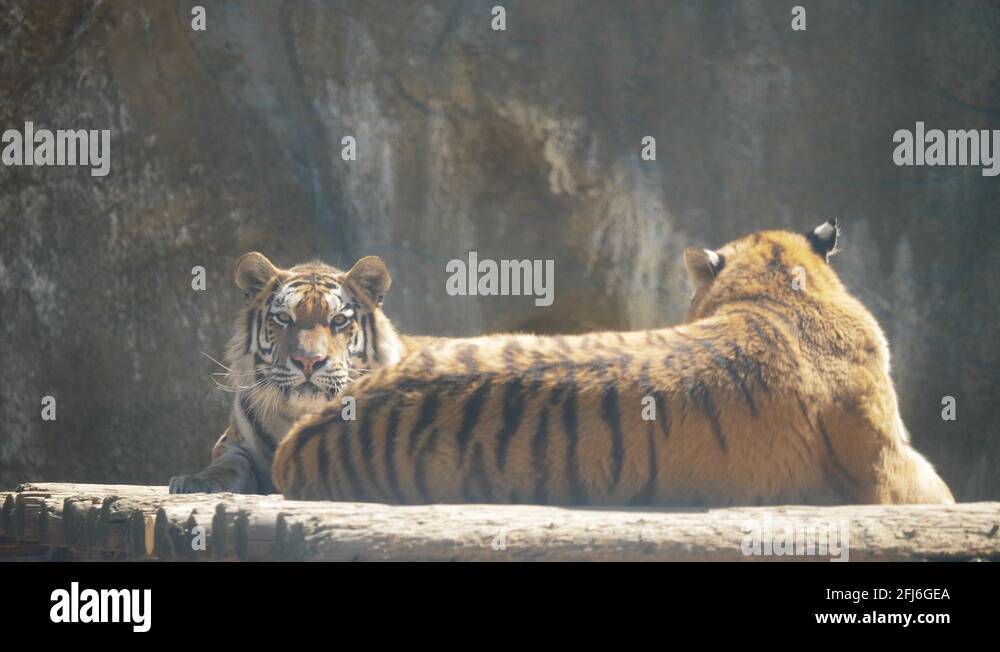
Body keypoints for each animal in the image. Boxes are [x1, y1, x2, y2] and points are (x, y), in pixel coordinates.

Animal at [169, 252, 439, 494]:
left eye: (338, 320)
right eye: (283, 317)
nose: (308, 361)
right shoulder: (231, 443)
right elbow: (228, 464)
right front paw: (195, 481)